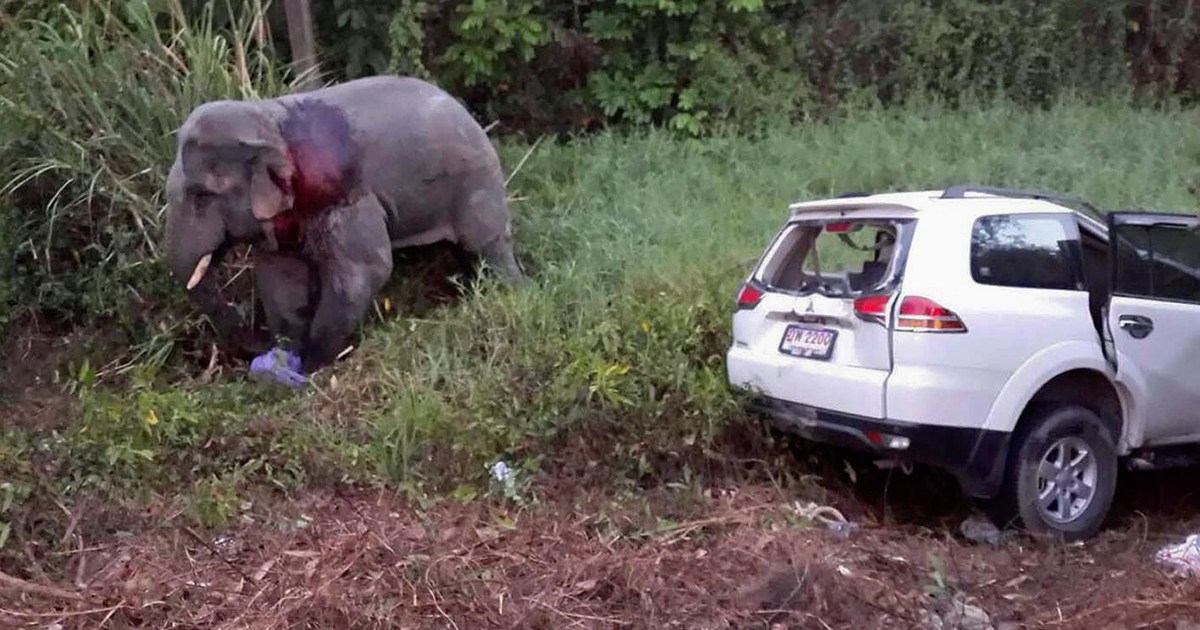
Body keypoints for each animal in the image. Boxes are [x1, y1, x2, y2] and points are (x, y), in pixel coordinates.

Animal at [163, 75, 525, 378]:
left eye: (200, 196)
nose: (255, 346)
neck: (268, 119)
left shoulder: (344, 197)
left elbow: (363, 270)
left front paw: (311, 367)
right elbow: (282, 279)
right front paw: (285, 359)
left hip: (476, 182)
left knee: (486, 246)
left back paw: (509, 292)